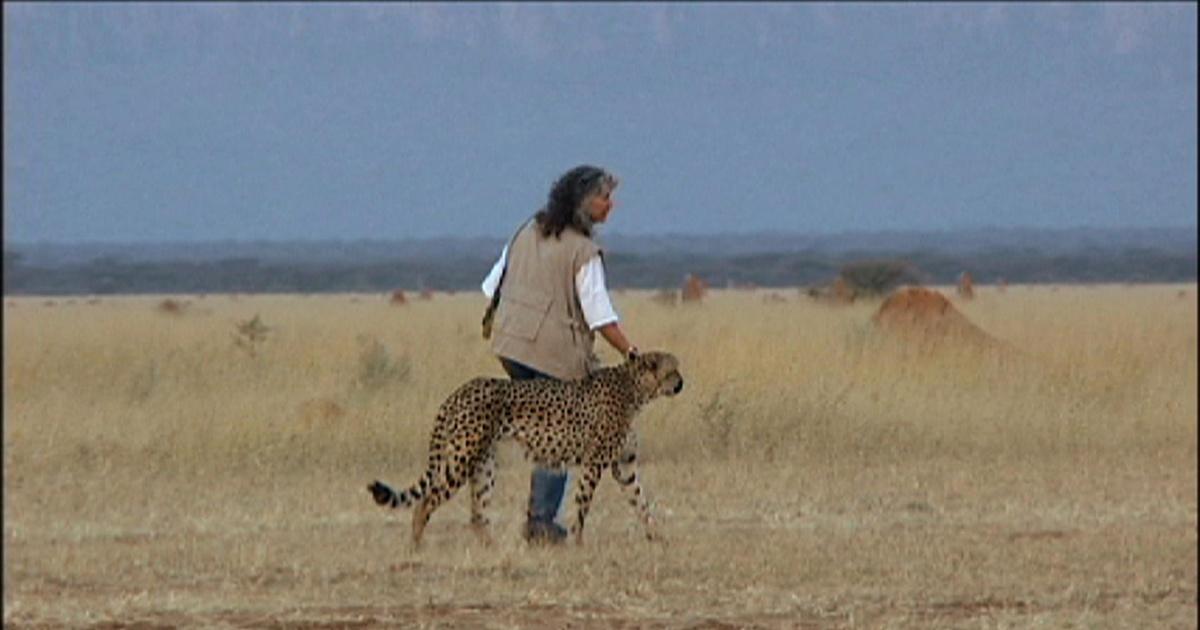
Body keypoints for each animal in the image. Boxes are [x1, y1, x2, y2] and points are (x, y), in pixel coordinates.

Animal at [367, 351, 684, 548]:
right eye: (672, 371)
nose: (682, 383)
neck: (636, 388)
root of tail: (460, 390)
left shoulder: (625, 466)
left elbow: (642, 502)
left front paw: (657, 536)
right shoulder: (594, 463)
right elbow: (583, 506)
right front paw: (578, 543)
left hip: (484, 464)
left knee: (477, 513)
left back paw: (492, 548)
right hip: (461, 459)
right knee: (425, 501)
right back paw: (416, 545)